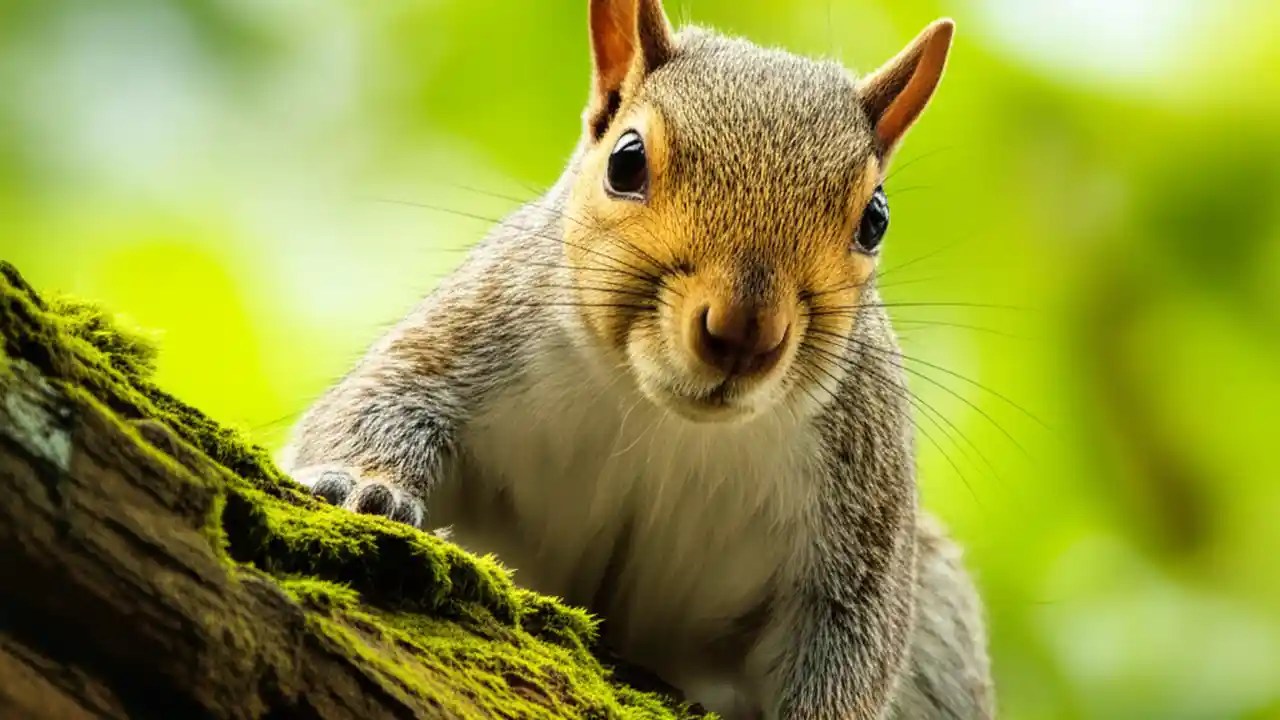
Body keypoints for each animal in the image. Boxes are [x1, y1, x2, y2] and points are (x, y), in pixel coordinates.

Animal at [282, 1, 994, 718]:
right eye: (626, 163)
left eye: (875, 220)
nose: (744, 333)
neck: (662, 415)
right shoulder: (478, 328)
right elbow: (385, 399)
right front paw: (363, 485)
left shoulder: (860, 496)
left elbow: (853, 633)